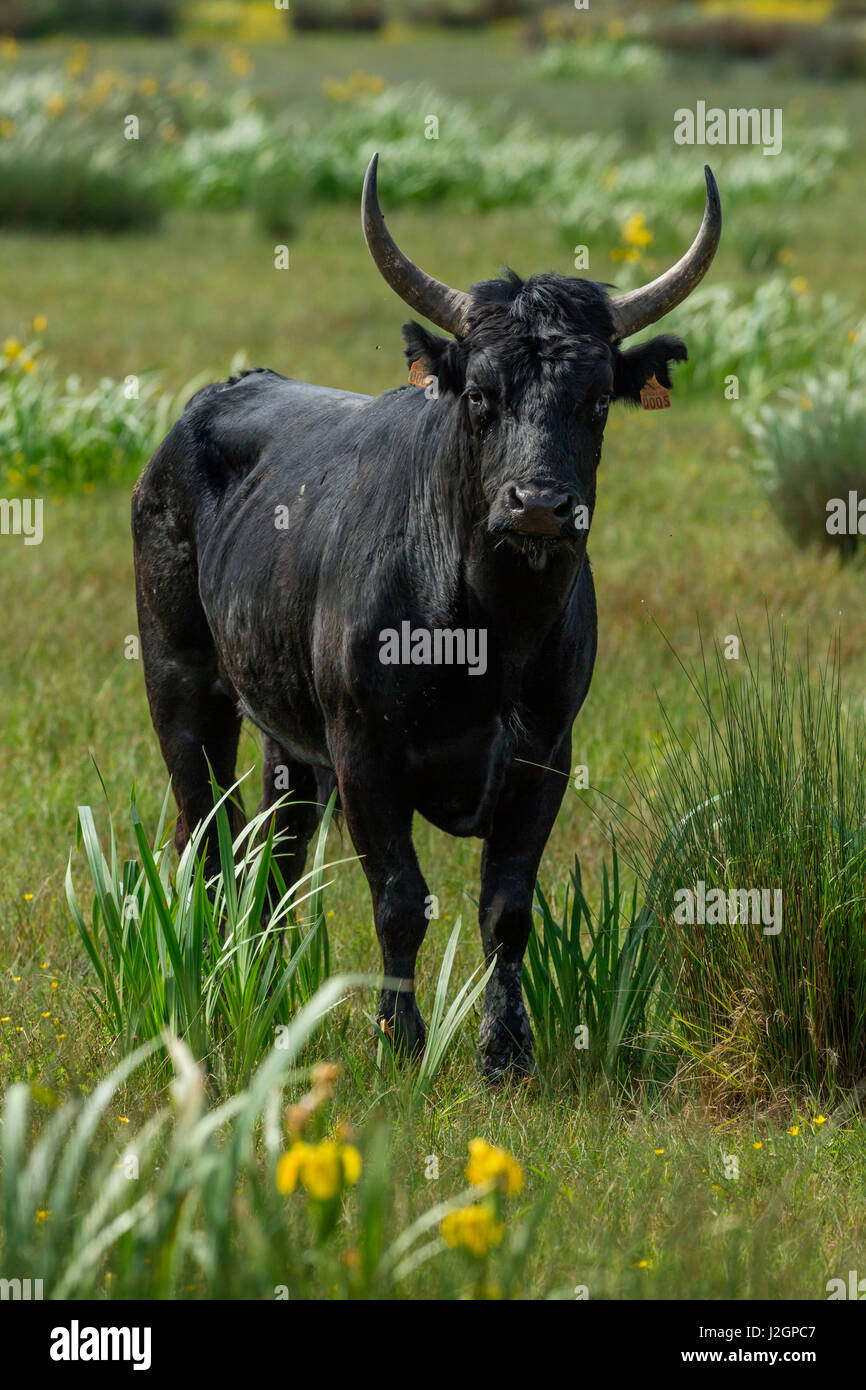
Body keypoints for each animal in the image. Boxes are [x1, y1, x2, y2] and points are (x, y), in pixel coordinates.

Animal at [132, 155, 721, 1079]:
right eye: (479, 395)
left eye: (597, 401)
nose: (539, 505)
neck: (488, 633)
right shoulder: (364, 753)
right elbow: (400, 899)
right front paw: (400, 1039)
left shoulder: (545, 757)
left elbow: (507, 908)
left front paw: (505, 1049)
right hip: (182, 687)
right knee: (207, 839)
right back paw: (213, 988)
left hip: (286, 739)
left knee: (277, 855)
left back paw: (269, 989)